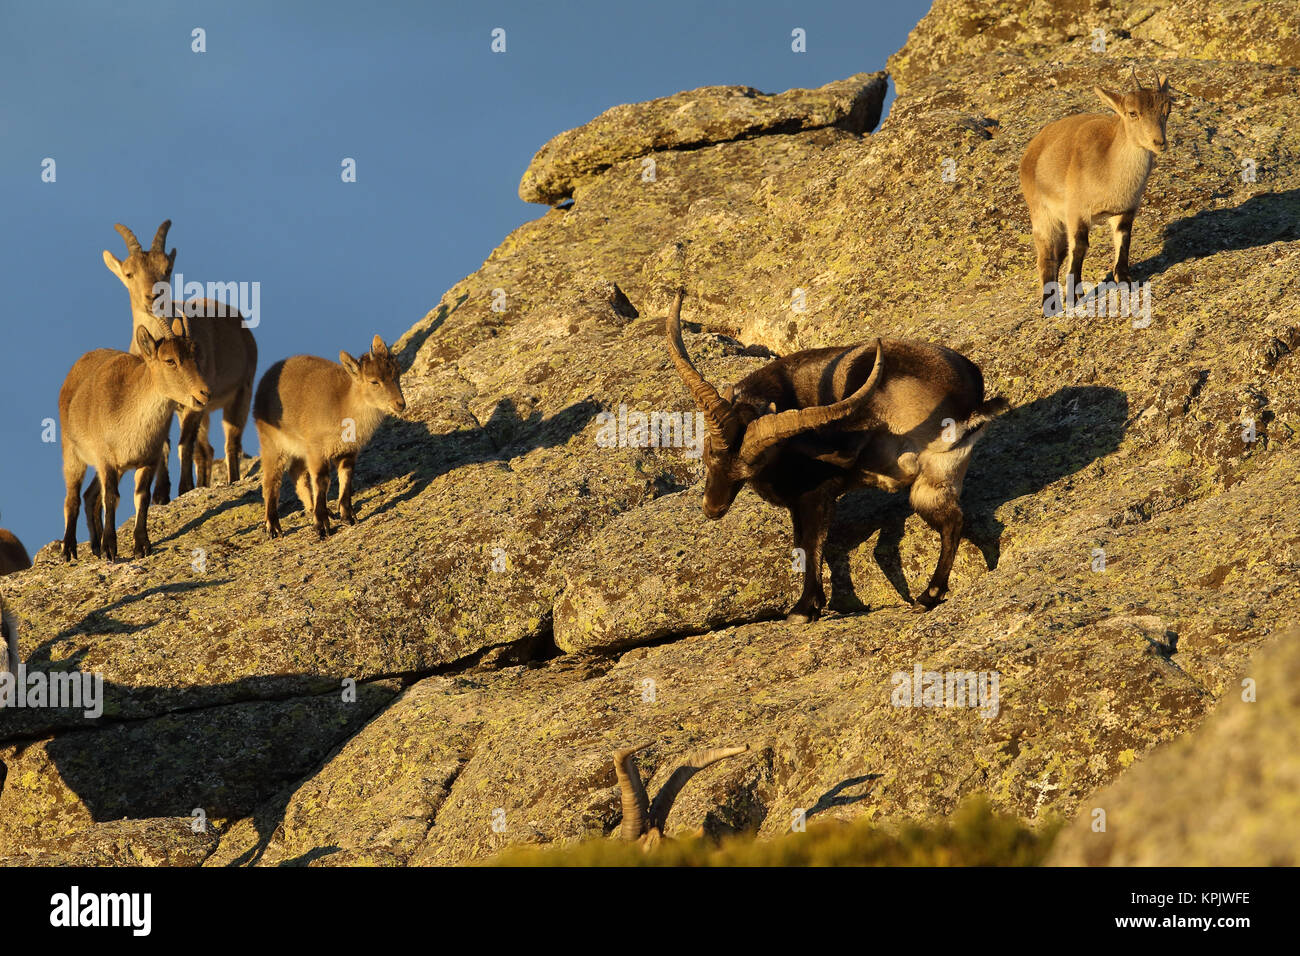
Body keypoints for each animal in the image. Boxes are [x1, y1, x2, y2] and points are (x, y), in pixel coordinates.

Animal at [60, 323, 210, 561]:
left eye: (194, 356)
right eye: (170, 360)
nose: (204, 393)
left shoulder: (148, 459)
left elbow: (142, 497)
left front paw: (142, 545)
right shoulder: (106, 459)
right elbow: (111, 497)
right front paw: (109, 548)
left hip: (117, 467)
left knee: (90, 495)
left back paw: (94, 545)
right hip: (72, 451)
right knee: (72, 498)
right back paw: (69, 549)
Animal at [102, 220, 258, 502]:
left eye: (167, 269)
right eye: (129, 273)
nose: (153, 296)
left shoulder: (193, 401)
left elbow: (184, 444)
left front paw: (184, 488)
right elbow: (164, 446)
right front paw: (160, 495)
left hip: (241, 391)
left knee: (231, 443)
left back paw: (231, 479)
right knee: (206, 450)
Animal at [254, 336, 406, 540]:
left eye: (397, 373)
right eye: (374, 381)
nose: (400, 404)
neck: (343, 407)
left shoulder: (347, 451)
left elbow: (346, 479)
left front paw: (348, 517)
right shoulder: (317, 450)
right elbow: (321, 481)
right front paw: (321, 526)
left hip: (299, 448)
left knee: (297, 474)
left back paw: (317, 511)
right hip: (272, 443)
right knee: (271, 480)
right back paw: (273, 527)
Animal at [667, 290, 1007, 621]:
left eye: (748, 469)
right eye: (710, 456)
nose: (712, 508)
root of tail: (966, 404)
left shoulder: (815, 493)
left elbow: (810, 542)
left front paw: (804, 609)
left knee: (949, 520)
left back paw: (926, 596)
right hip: (936, 479)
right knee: (954, 521)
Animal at [1020, 70, 1172, 314]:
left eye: (1167, 111)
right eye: (1132, 113)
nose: (1159, 142)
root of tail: (1032, 148)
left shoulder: (1126, 209)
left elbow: (1123, 239)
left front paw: (1125, 280)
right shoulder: (1077, 210)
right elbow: (1080, 246)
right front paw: (1074, 294)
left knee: (1058, 252)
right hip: (1041, 213)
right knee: (1046, 256)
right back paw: (1049, 304)